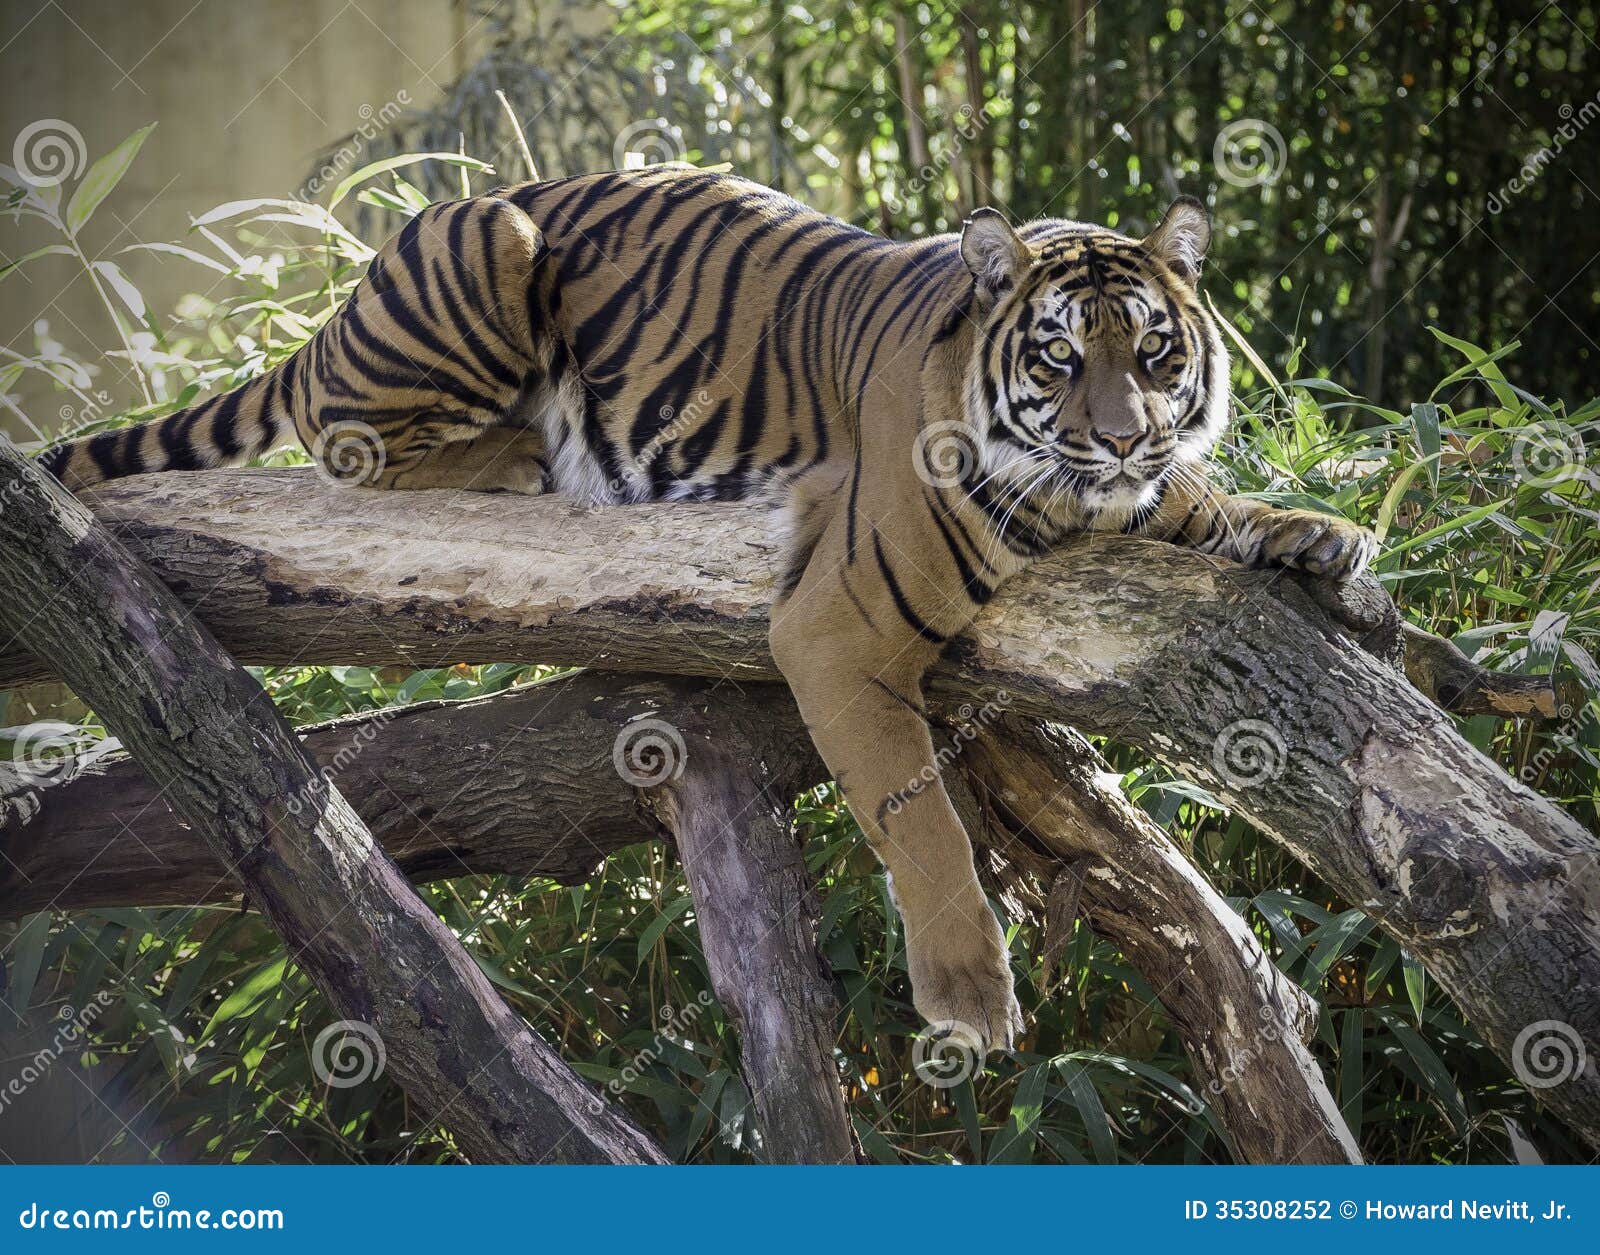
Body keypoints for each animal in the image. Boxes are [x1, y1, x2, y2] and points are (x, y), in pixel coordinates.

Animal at [40, 166, 1376, 1054]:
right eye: (1056, 356)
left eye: (1155, 352)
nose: (1120, 436)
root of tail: (344, 299)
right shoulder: (839, 625)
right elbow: (921, 819)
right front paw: (966, 998)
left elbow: (1202, 501)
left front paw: (1310, 530)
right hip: (484, 251)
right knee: (340, 438)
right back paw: (520, 454)